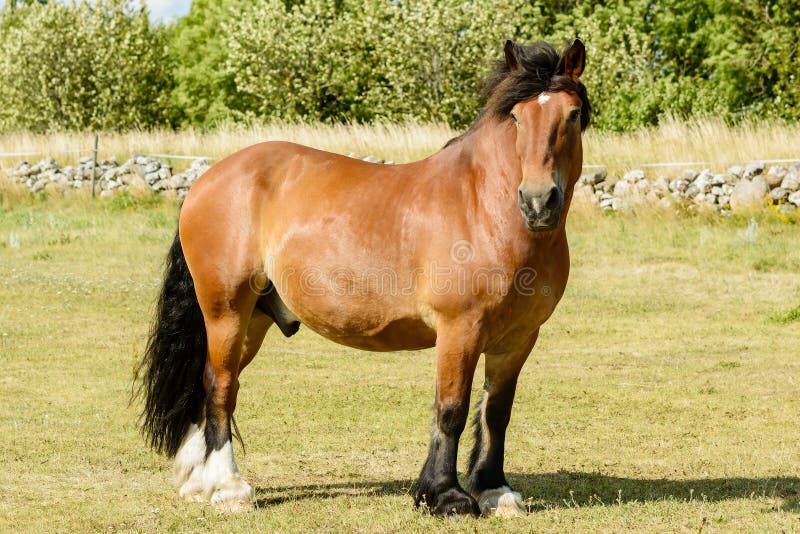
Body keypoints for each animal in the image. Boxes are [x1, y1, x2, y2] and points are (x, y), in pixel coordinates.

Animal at [135, 38, 590, 518]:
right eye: (517, 117)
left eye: (572, 114)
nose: (538, 201)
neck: (483, 206)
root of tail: (206, 180)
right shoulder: (460, 329)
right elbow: (451, 408)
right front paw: (444, 496)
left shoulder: (518, 337)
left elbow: (496, 411)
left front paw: (494, 491)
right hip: (226, 310)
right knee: (220, 385)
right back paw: (228, 488)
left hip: (254, 318)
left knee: (209, 384)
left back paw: (197, 482)